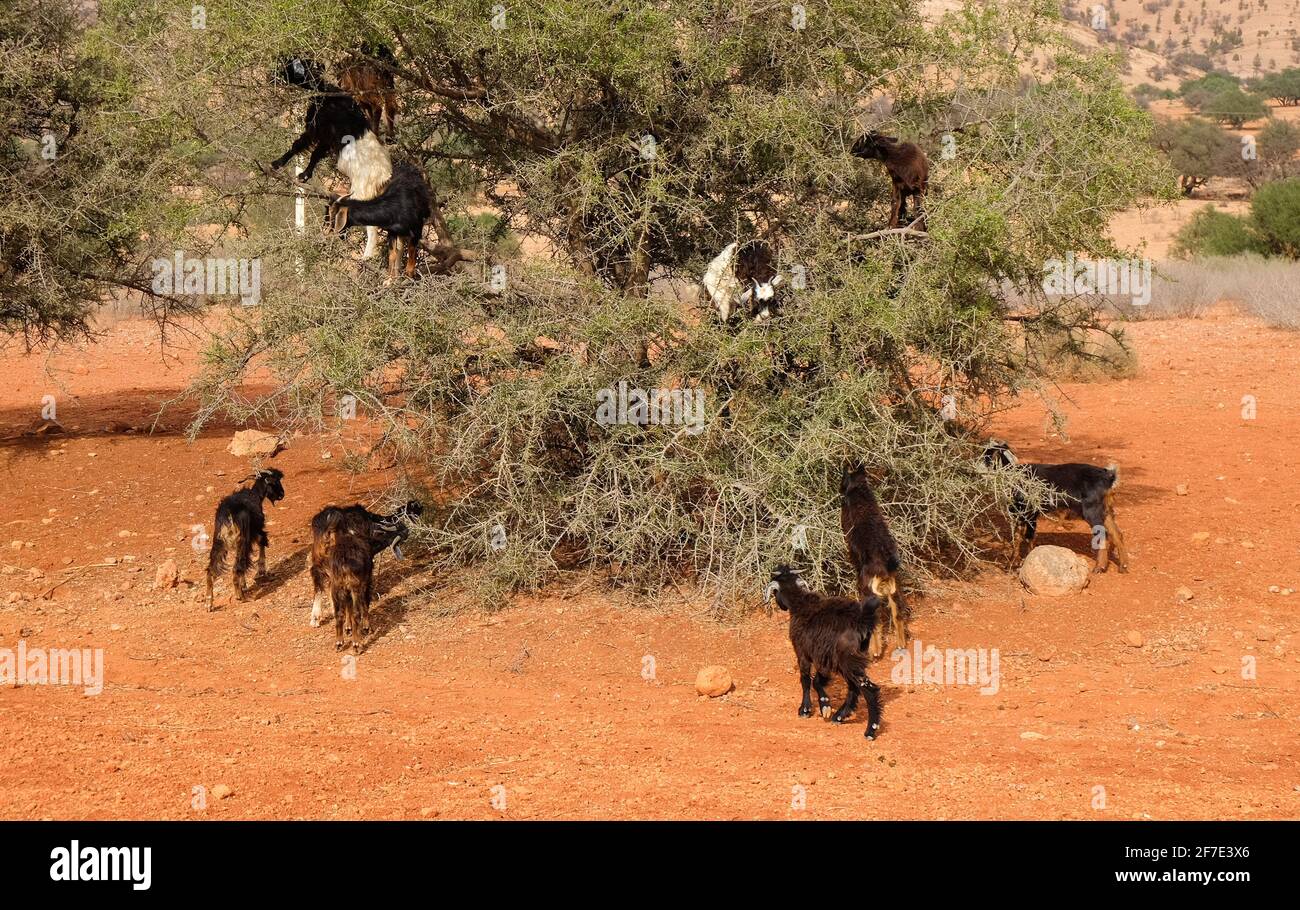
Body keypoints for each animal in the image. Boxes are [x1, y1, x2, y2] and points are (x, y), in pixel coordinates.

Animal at [205, 468, 285, 611]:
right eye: (275, 481)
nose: (282, 494)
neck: (255, 495)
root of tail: (229, 515)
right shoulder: (256, 529)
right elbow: (262, 542)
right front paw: (260, 571)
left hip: (219, 541)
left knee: (211, 570)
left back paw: (209, 602)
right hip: (243, 539)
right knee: (237, 567)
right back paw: (241, 596)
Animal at [309, 500, 422, 652]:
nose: (407, 532)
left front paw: (349, 628)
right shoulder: (365, 576)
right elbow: (363, 601)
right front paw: (364, 627)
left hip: (322, 565)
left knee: (320, 586)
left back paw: (318, 619)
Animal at [767, 565, 884, 739]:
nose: (781, 605)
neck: (800, 604)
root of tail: (861, 620)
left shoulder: (805, 653)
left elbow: (807, 680)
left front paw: (810, 708)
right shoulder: (823, 657)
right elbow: (816, 680)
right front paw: (824, 706)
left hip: (847, 660)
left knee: (868, 689)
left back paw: (870, 729)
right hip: (849, 661)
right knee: (854, 687)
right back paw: (840, 716)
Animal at [841, 465, 911, 659]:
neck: (859, 490)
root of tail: (883, 567)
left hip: (868, 592)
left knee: (875, 623)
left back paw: (875, 652)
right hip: (894, 591)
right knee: (898, 616)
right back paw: (900, 645)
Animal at [981, 439, 1129, 573]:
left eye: (985, 456)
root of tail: (1109, 477)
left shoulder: (1024, 512)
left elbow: (1020, 537)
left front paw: (1013, 564)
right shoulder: (1030, 515)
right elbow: (1026, 536)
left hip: (1092, 510)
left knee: (1102, 533)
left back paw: (1100, 567)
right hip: (1106, 510)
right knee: (1117, 534)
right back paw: (1123, 566)